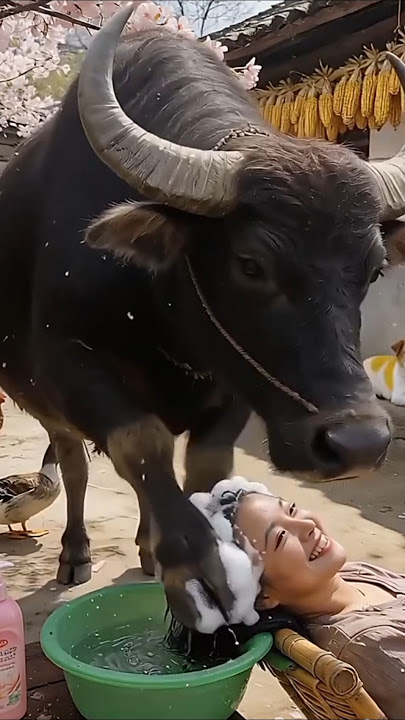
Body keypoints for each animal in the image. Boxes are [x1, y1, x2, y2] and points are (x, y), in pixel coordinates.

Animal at [0, 4, 404, 628]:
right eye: (251, 264)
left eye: (375, 268)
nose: (358, 444)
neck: (156, 312)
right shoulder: (65, 357)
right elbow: (140, 443)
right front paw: (192, 567)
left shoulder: (233, 382)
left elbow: (203, 466)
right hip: (46, 404)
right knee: (75, 464)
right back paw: (76, 554)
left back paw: (145, 548)